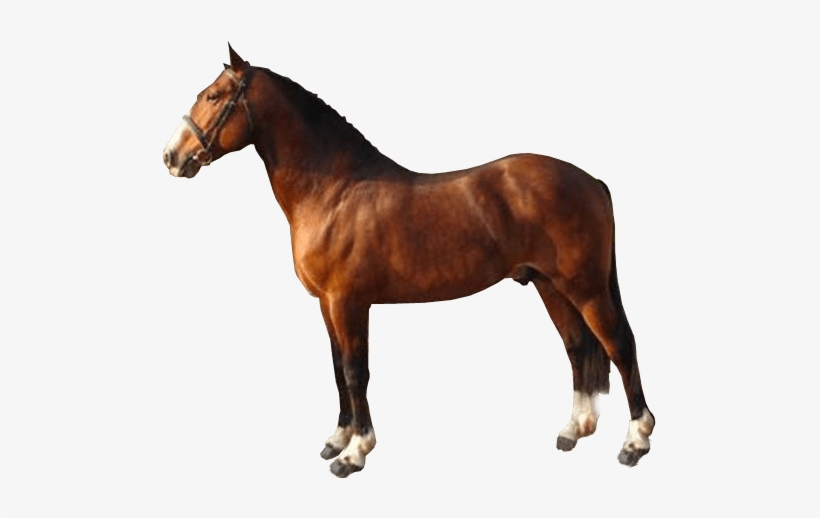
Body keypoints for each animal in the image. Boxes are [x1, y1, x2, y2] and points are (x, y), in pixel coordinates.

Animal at [162, 45, 655, 478]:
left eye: (213, 96)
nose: (171, 156)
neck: (334, 191)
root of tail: (590, 180)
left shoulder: (349, 303)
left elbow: (355, 372)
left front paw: (354, 453)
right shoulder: (326, 305)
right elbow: (336, 370)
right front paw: (336, 440)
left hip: (586, 288)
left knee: (620, 346)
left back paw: (635, 442)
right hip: (549, 285)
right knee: (577, 347)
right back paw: (574, 429)